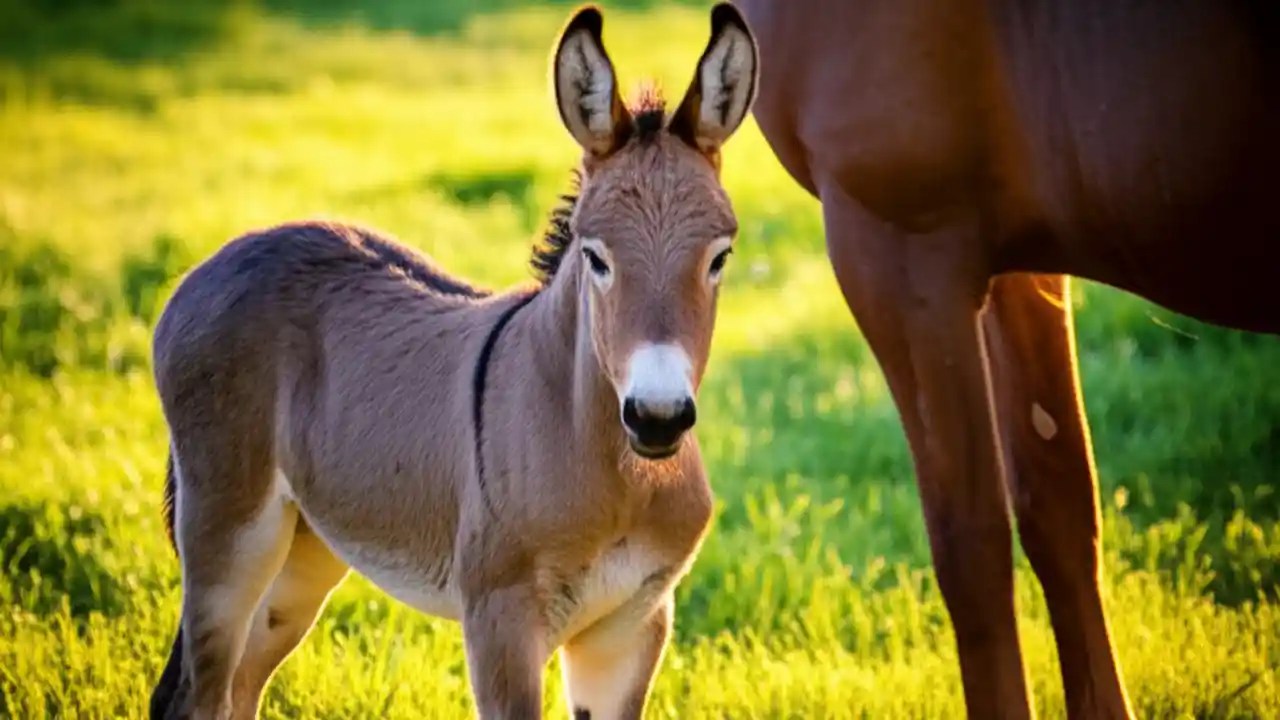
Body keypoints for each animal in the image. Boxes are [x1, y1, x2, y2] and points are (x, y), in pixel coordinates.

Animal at [147, 5, 759, 718]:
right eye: (595, 257)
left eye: (719, 257)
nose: (658, 419)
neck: (616, 479)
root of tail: (227, 253)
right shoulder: (500, 622)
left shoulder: (631, 627)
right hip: (229, 526)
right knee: (201, 690)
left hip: (307, 546)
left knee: (240, 684)